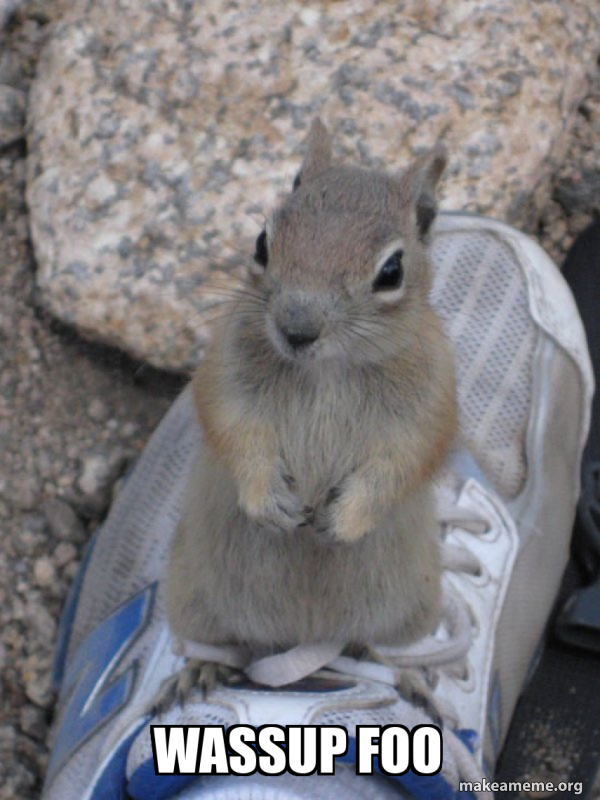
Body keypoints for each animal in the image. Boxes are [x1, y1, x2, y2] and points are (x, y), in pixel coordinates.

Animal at [162, 119, 457, 700]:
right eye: (262, 241)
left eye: (392, 271)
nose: (296, 328)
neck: (327, 370)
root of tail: (306, 634)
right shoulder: (227, 377)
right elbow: (236, 433)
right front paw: (268, 500)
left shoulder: (428, 406)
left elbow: (401, 463)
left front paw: (345, 519)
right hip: (189, 596)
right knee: (227, 644)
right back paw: (202, 670)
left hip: (414, 609)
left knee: (363, 643)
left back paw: (397, 673)